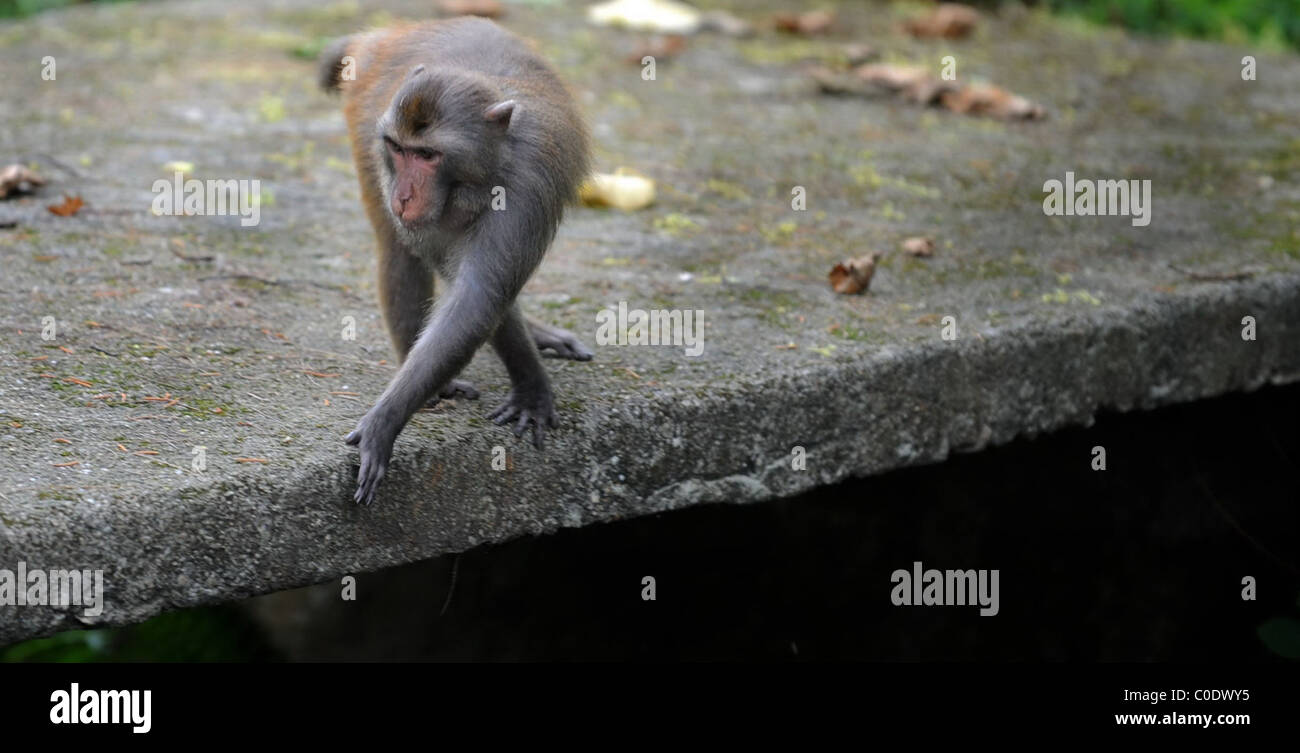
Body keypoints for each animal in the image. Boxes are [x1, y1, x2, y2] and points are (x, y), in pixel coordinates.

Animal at [319, 18, 593, 505]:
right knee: (398, 251)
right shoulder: (384, 161)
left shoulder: (525, 186)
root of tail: (385, 36)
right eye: (399, 148)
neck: (481, 174)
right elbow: (476, 295)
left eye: (428, 155)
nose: (403, 196)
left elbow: (480, 295)